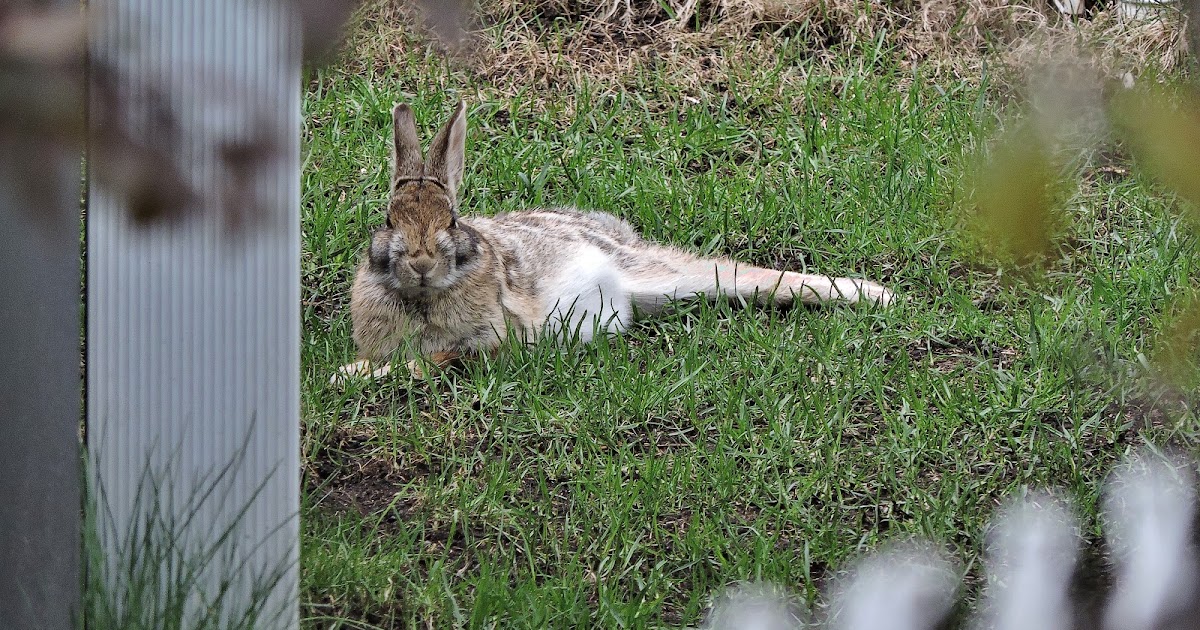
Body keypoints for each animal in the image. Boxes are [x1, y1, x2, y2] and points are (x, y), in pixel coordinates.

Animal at [334, 100, 894, 384]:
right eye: (387, 220)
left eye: (451, 220)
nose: (422, 264)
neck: (425, 299)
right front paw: (352, 371)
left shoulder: (492, 340)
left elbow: (430, 361)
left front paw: (349, 374)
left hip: (659, 272)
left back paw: (873, 295)